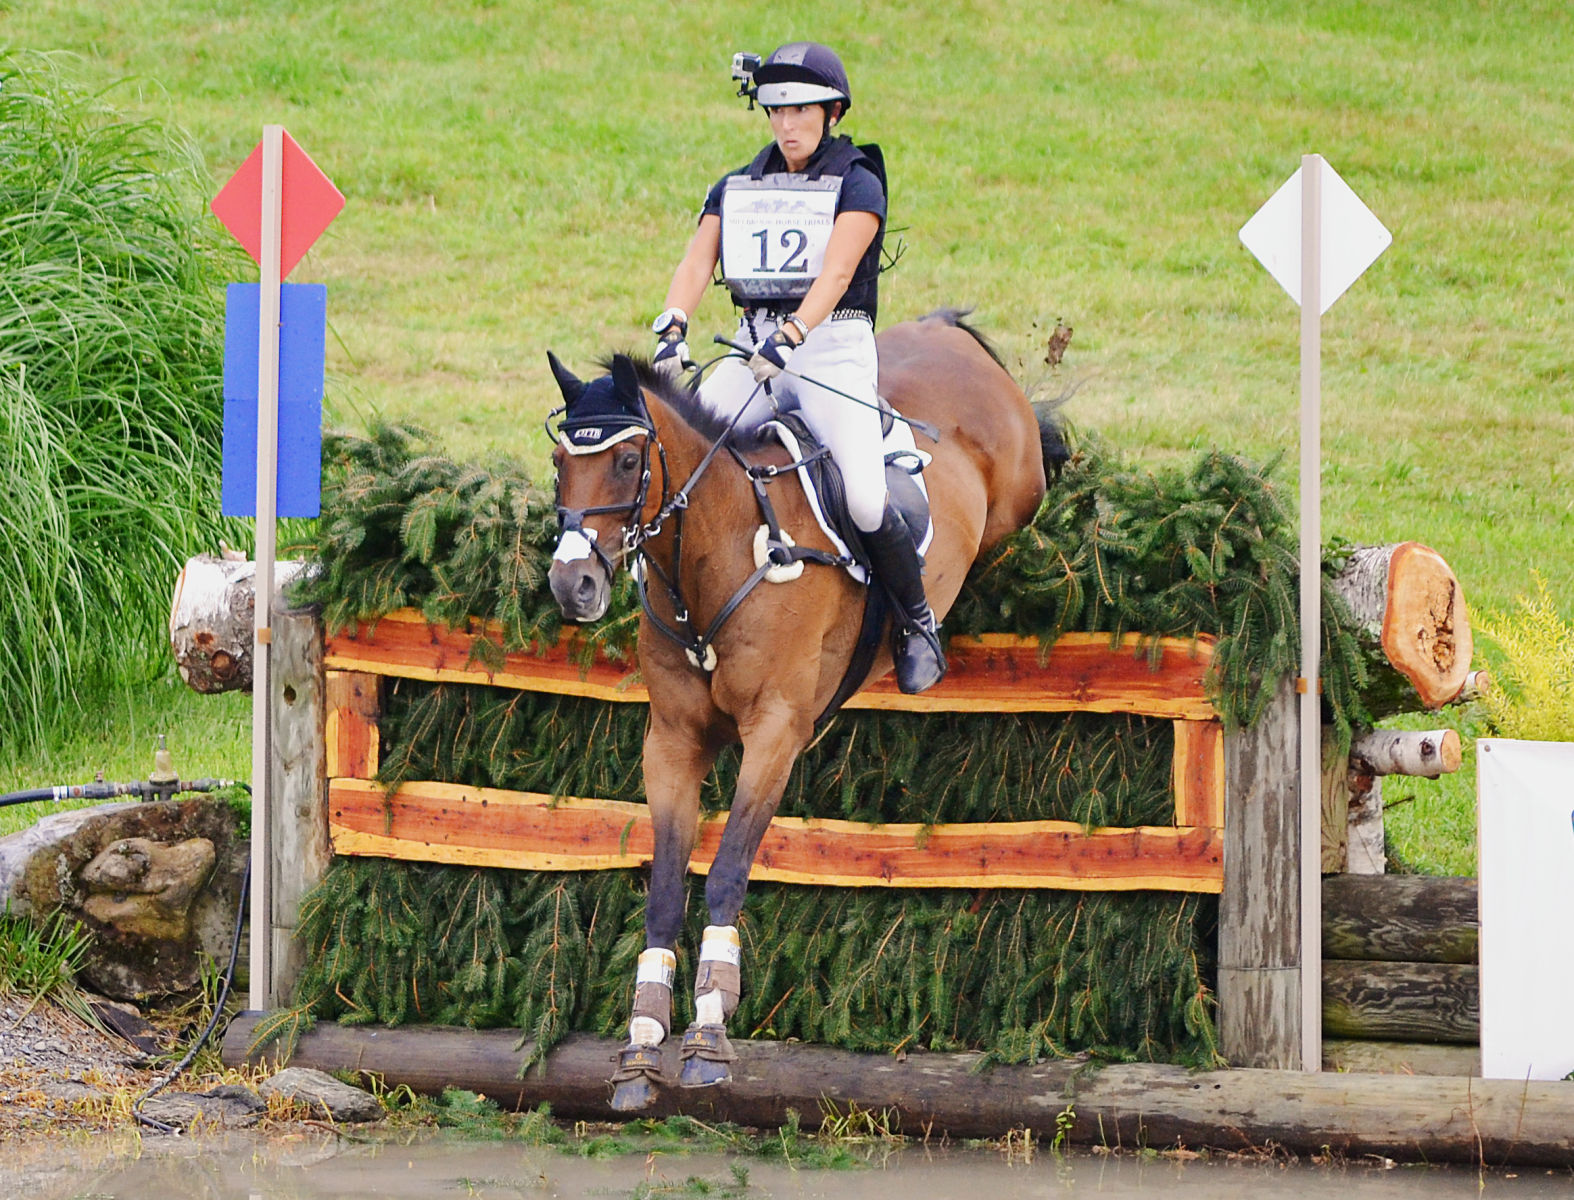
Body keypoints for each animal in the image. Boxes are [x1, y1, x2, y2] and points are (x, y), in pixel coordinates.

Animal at [544, 310, 1070, 1114]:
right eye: (558, 467)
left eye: (630, 463)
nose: (572, 585)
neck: (718, 558)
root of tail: (948, 332)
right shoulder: (672, 742)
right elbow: (664, 889)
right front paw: (640, 1045)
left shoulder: (775, 732)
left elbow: (728, 869)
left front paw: (708, 1034)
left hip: (1014, 502)